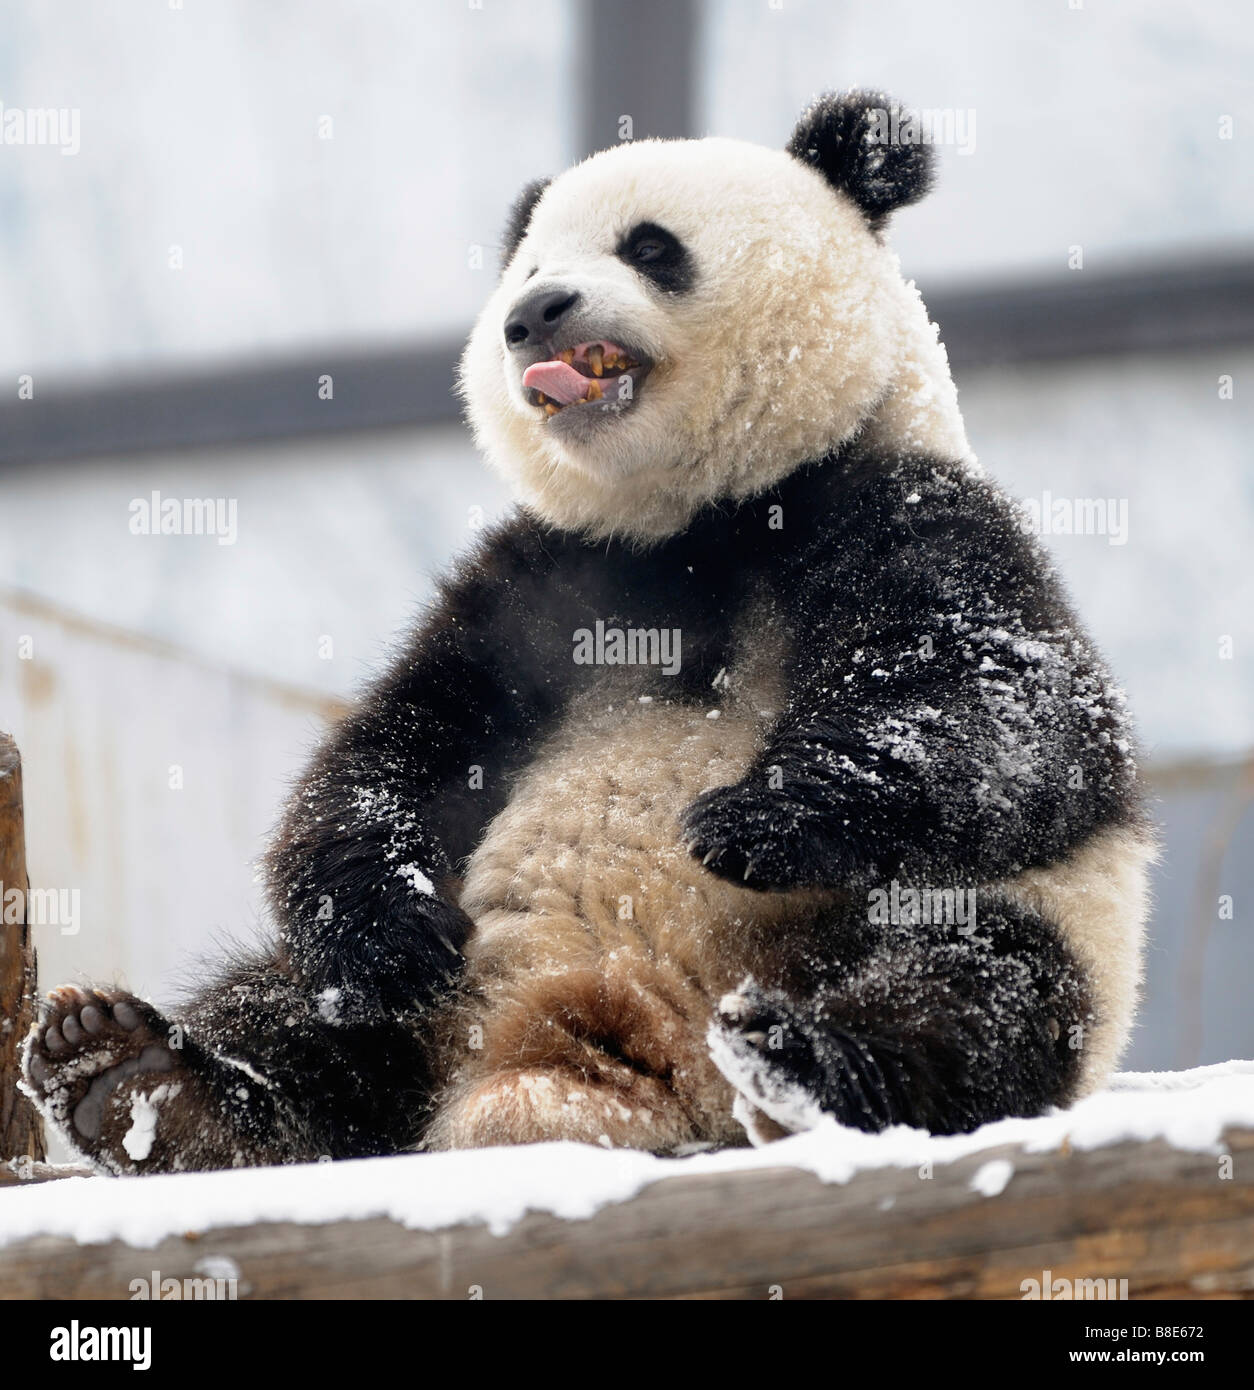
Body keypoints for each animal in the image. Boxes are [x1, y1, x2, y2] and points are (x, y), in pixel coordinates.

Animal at [22, 92, 1154, 1172]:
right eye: (527, 265)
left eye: (649, 246)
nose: (534, 313)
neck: (704, 519)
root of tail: (573, 1070)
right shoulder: (546, 573)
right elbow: (403, 743)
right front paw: (388, 924)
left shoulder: (897, 501)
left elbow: (1005, 709)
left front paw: (754, 817)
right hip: (444, 996)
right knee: (300, 1015)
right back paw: (144, 1082)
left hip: (958, 925)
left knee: (969, 987)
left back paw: (803, 1064)